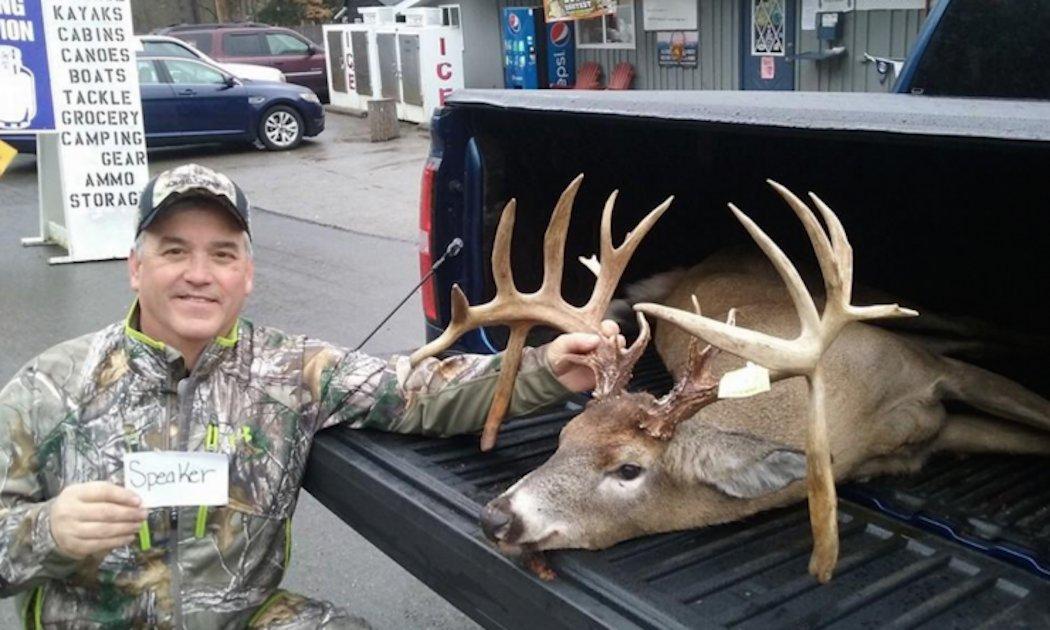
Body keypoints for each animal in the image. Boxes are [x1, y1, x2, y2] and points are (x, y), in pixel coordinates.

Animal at [412, 176, 1050, 583]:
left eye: (627, 469)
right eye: (563, 441)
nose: (496, 516)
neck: (847, 428)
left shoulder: (934, 375)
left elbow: (1035, 410)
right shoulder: (936, 436)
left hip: (882, 308)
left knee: (959, 323)